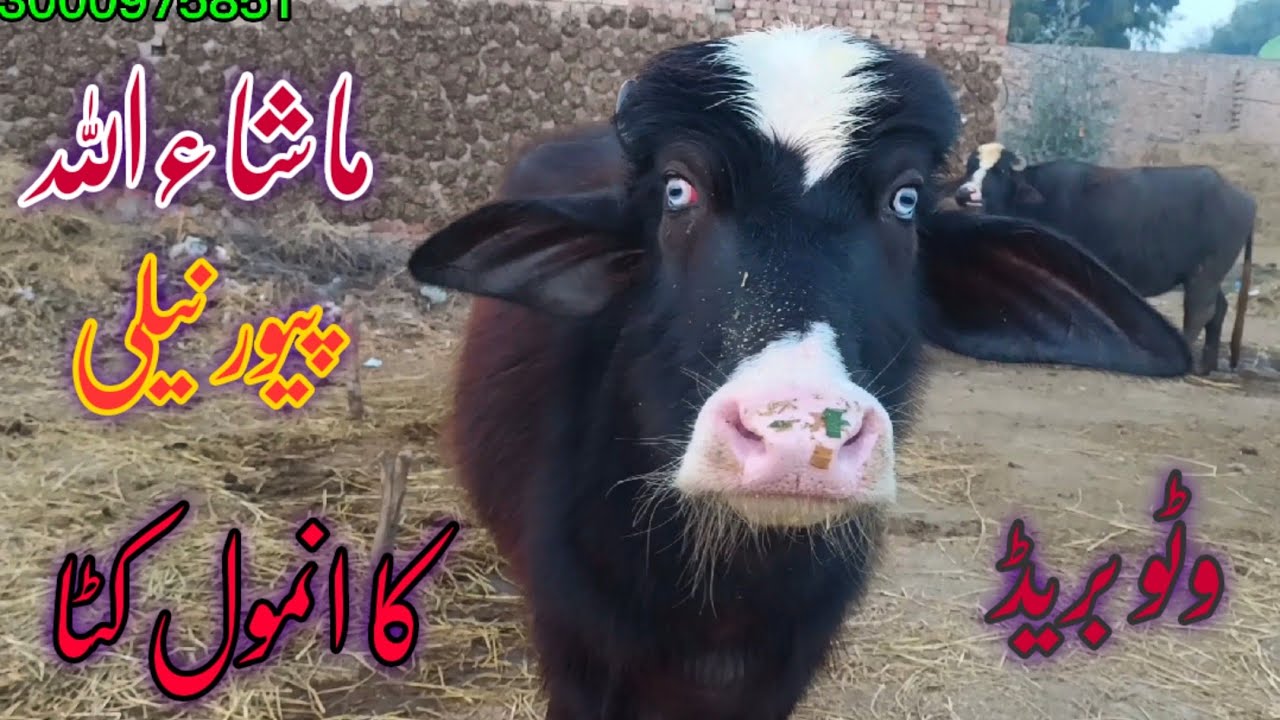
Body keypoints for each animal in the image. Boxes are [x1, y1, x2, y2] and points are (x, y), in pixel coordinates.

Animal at [954, 142, 1257, 376]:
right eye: (971, 167)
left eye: (1001, 170)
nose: (966, 193)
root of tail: (1244, 199)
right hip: (1208, 276)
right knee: (1219, 309)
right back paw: (1207, 366)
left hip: (1204, 274)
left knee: (1199, 311)